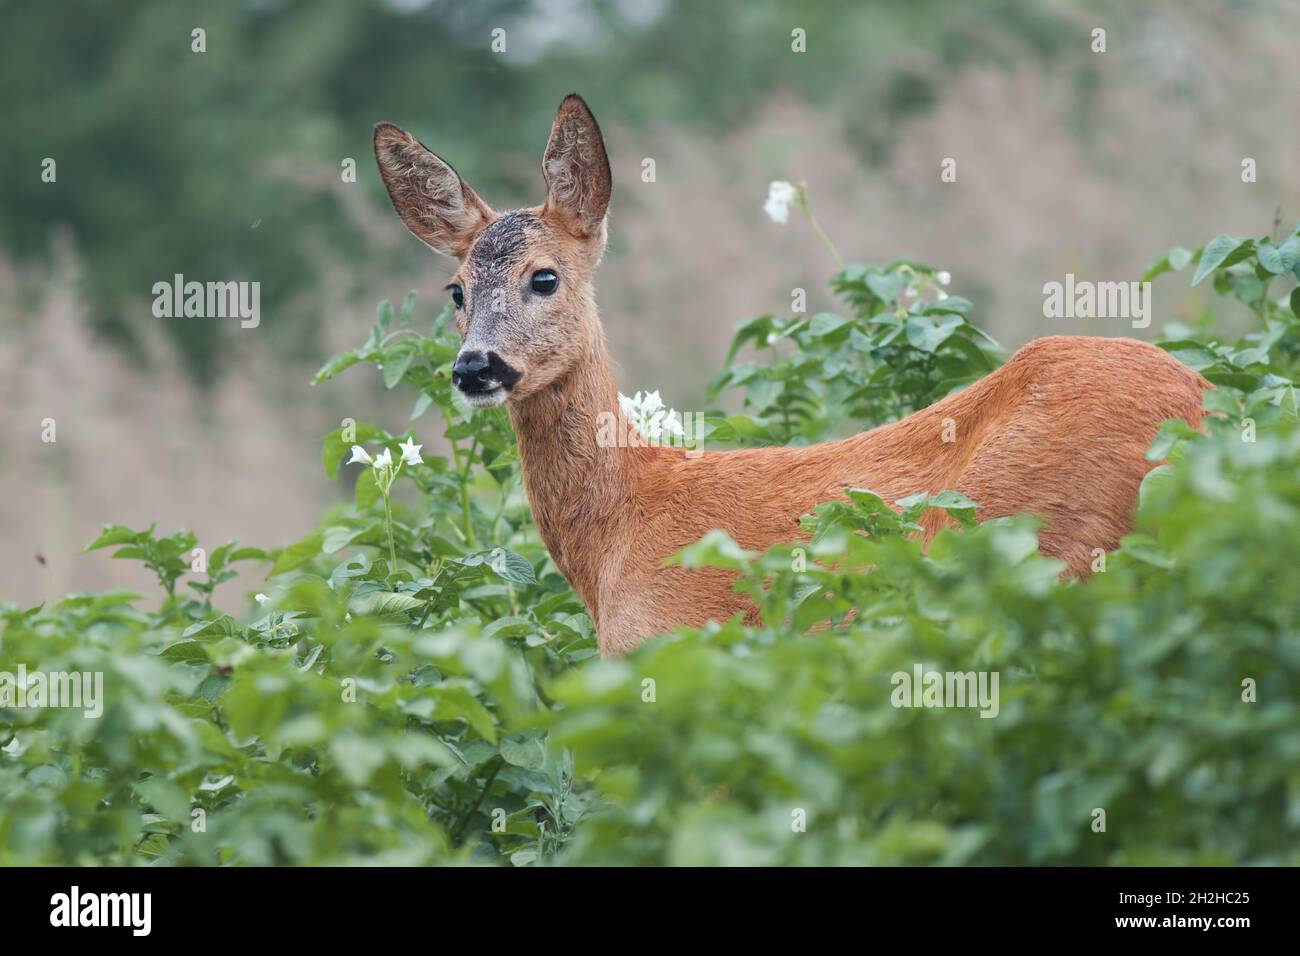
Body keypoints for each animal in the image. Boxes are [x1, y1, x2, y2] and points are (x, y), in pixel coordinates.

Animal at [373, 93, 1210, 656]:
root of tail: (1204, 414)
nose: (475, 366)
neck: (620, 530)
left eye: (544, 278)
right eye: (455, 291)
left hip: (1045, 546)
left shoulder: (676, 650)